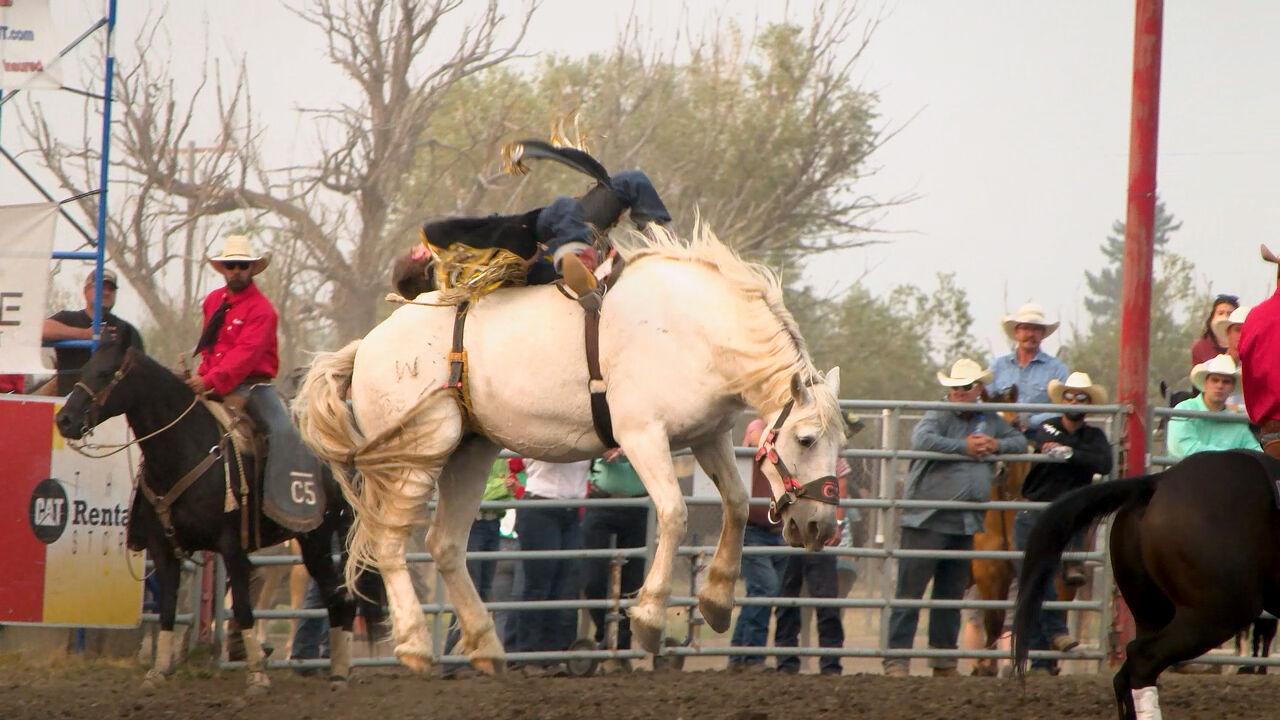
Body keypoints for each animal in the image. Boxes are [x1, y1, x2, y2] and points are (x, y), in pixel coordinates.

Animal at [54, 340, 382, 694]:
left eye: (105, 373)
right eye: (85, 368)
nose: (65, 420)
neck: (185, 447)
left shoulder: (232, 548)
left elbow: (242, 606)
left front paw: (257, 675)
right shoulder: (163, 551)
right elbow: (168, 608)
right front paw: (159, 670)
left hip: (324, 536)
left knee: (341, 597)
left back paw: (339, 673)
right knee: (336, 597)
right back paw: (337, 670)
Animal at [294, 225, 845, 674]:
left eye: (843, 441)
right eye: (806, 439)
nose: (820, 525)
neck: (693, 331)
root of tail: (366, 347)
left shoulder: (707, 435)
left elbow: (734, 502)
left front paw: (714, 600)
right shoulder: (642, 436)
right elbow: (673, 512)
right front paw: (648, 617)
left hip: (470, 452)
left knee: (445, 544)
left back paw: (486, 647)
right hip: (420, 452)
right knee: (389, 542)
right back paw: (413, 646)